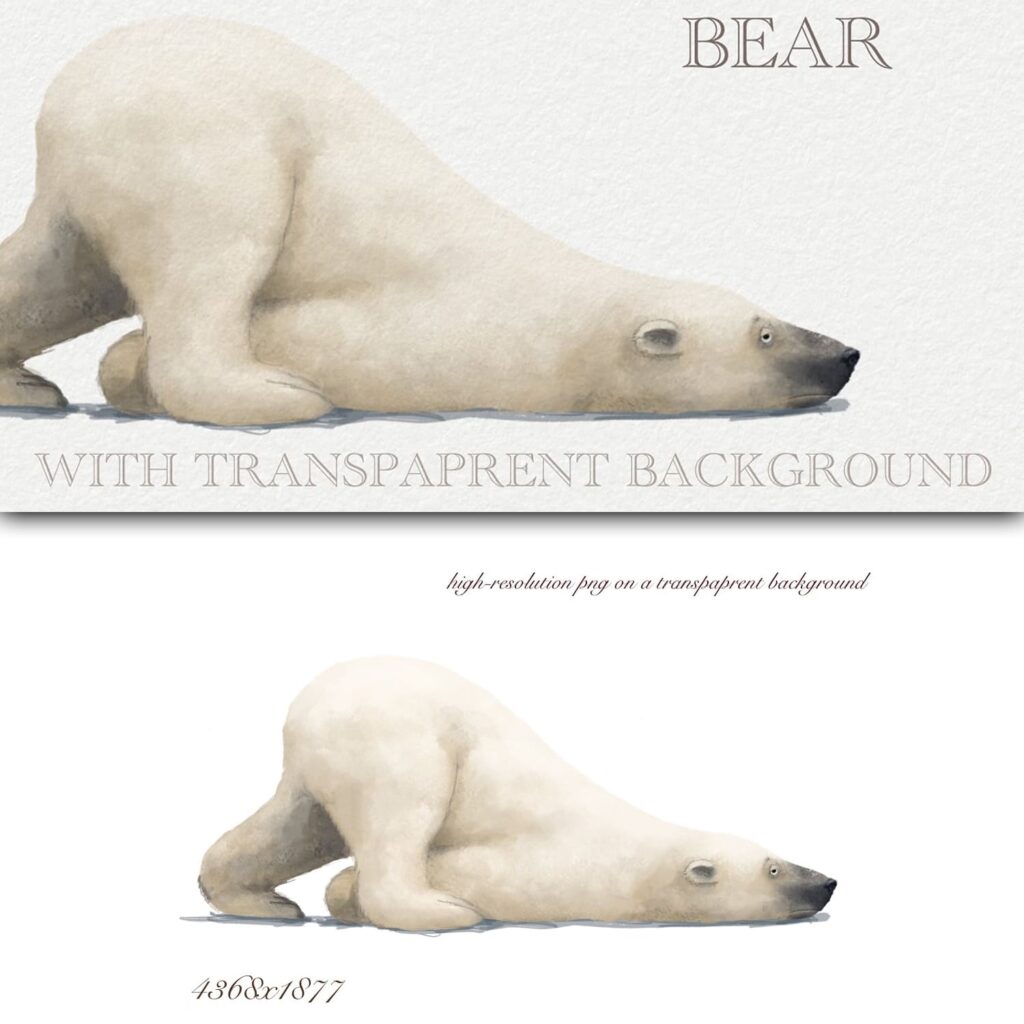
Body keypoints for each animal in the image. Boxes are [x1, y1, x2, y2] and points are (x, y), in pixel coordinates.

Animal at [0, 19, 860, 427]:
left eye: (771, 314)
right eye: (766, 335)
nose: (845, 354)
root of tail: (71, 95)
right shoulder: (444, 338)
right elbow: (298, 333)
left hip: (105, 179)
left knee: (55, 276)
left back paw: (26, 387)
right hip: (199, 142)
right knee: (209, 265)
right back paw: (278, 398)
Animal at [199, 658, 837, 930]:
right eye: (774, 869)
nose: (827, 882)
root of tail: (309, 706)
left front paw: (334, 898)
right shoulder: (555, 871)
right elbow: (459, 869)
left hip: (321, 771)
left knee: (290, 828)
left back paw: (266, 903)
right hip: (393, 744)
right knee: (399, 822)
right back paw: (443, 914)